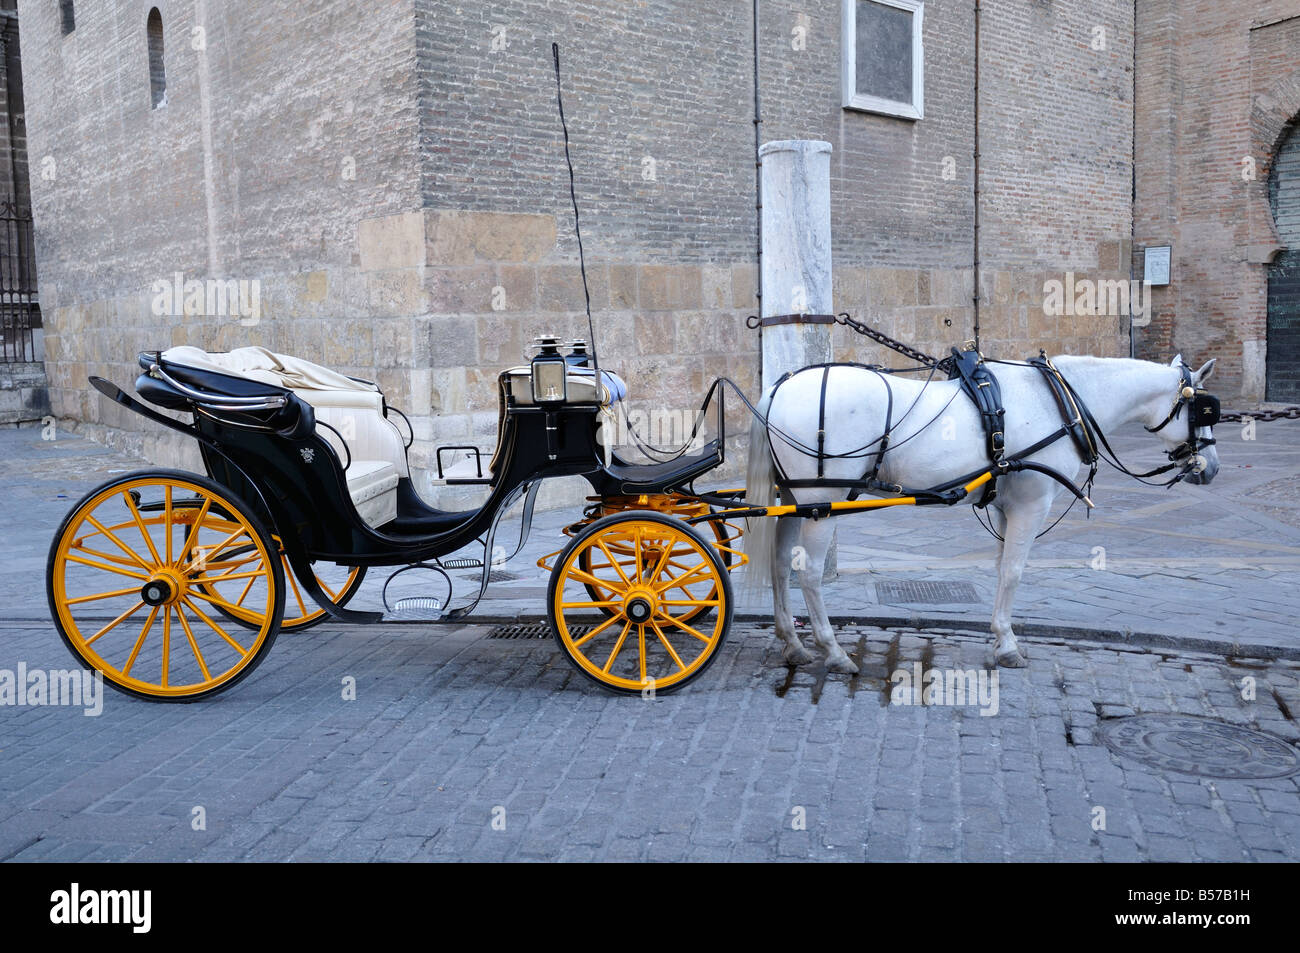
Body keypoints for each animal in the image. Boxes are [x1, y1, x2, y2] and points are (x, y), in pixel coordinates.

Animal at [743, 353, 1220, 672]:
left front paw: (999, 636)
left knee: (780, 565)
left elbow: (999, 568)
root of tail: (778, 389)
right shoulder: (1032, 505)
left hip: (794, 499)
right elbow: (1013, 572)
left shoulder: (1008, 507)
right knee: (808, 572)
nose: (1211, 469)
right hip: (823, 500)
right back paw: (834, 651)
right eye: (1205, 410)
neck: (1060, 404)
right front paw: (1008, 647)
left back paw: (793, 645)